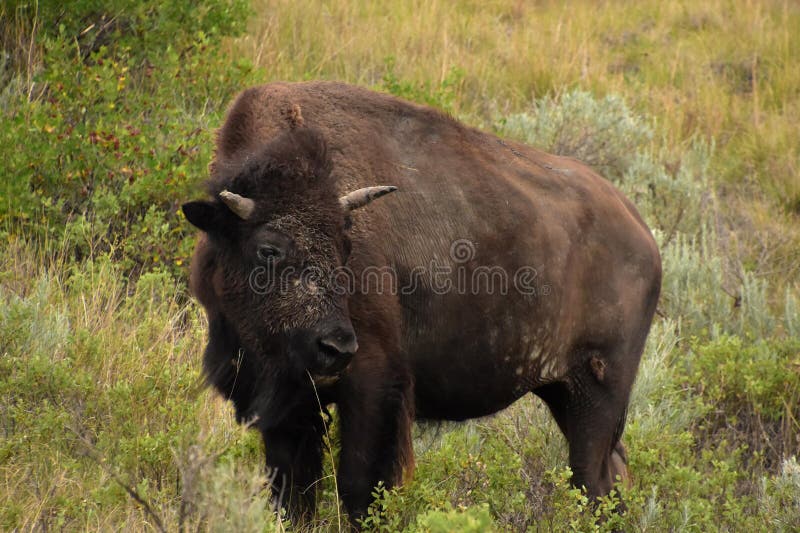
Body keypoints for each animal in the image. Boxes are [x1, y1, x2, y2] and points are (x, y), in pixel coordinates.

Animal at [182, 81, 662, 524]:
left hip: (597, 395)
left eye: (345, 247)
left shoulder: (374, 385)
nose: (335, 347)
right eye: (268, 248)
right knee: (612, 476)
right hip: (564, 393)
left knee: (591, 480)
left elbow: (360, 486)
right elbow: (292, 494)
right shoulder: (289, 408)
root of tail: (644, 235)